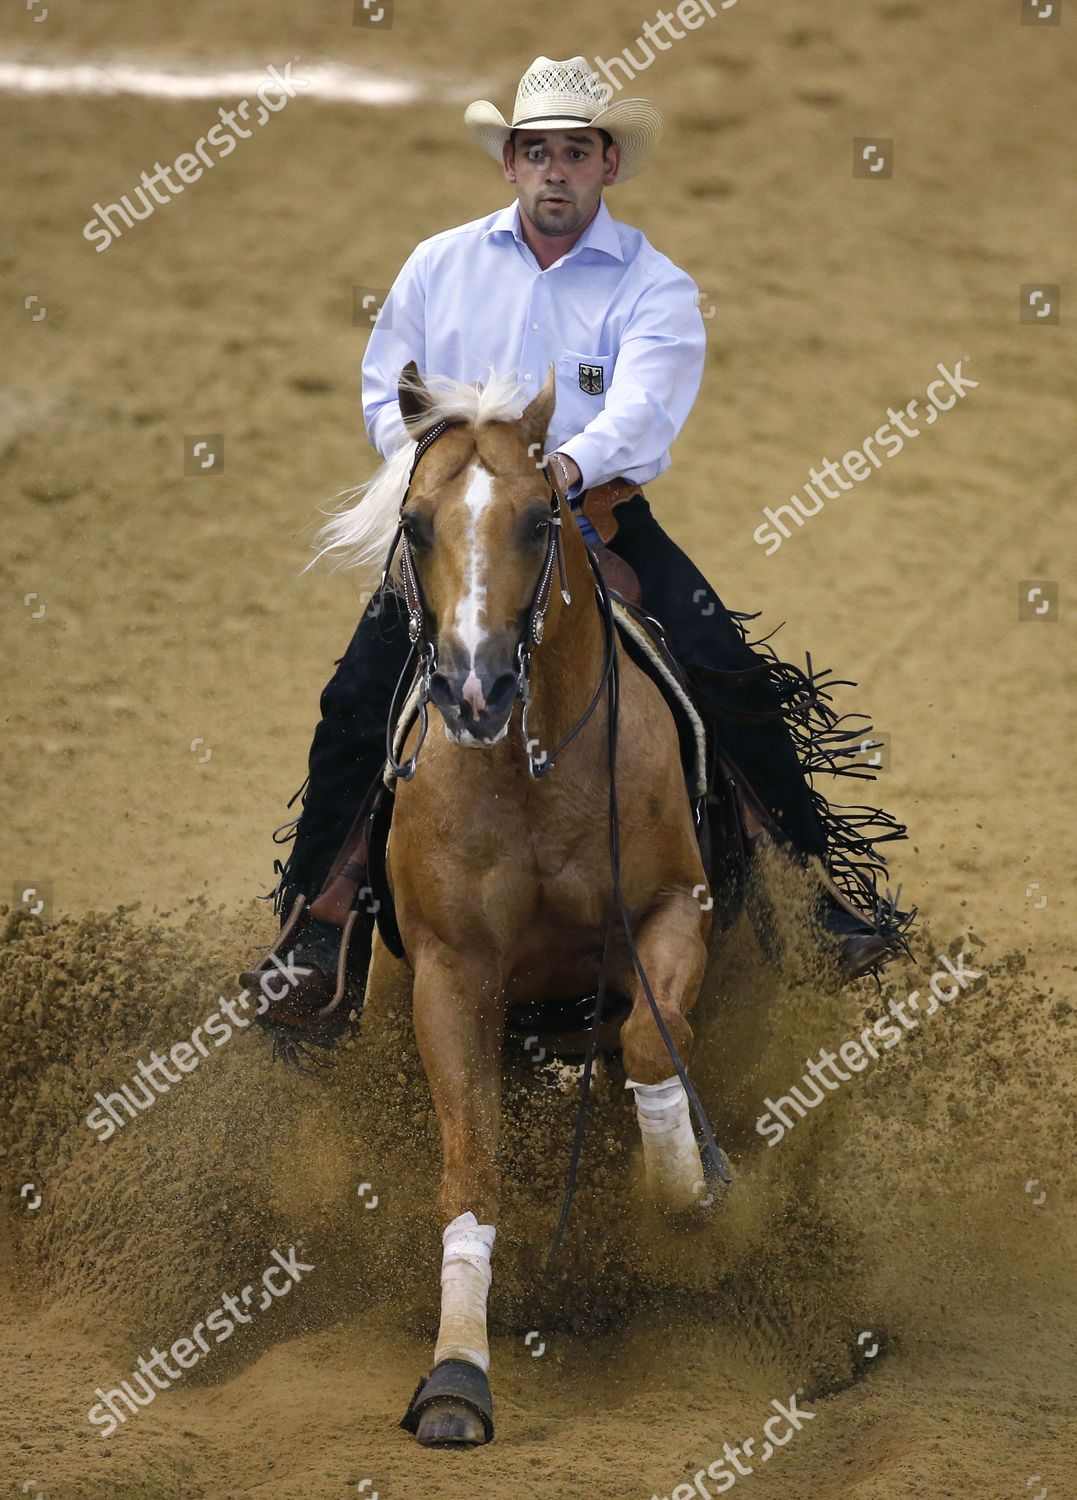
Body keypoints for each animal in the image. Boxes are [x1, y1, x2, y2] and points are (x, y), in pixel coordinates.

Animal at [318, 363, 726, 1447]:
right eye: (415, 523)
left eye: (542, 521)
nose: (474, 689)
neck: (531, 769)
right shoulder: (451, 976)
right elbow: (472, 1171)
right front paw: (456, 1376)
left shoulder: (673, 910)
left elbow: (649, 1043)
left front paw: (685, 1200)